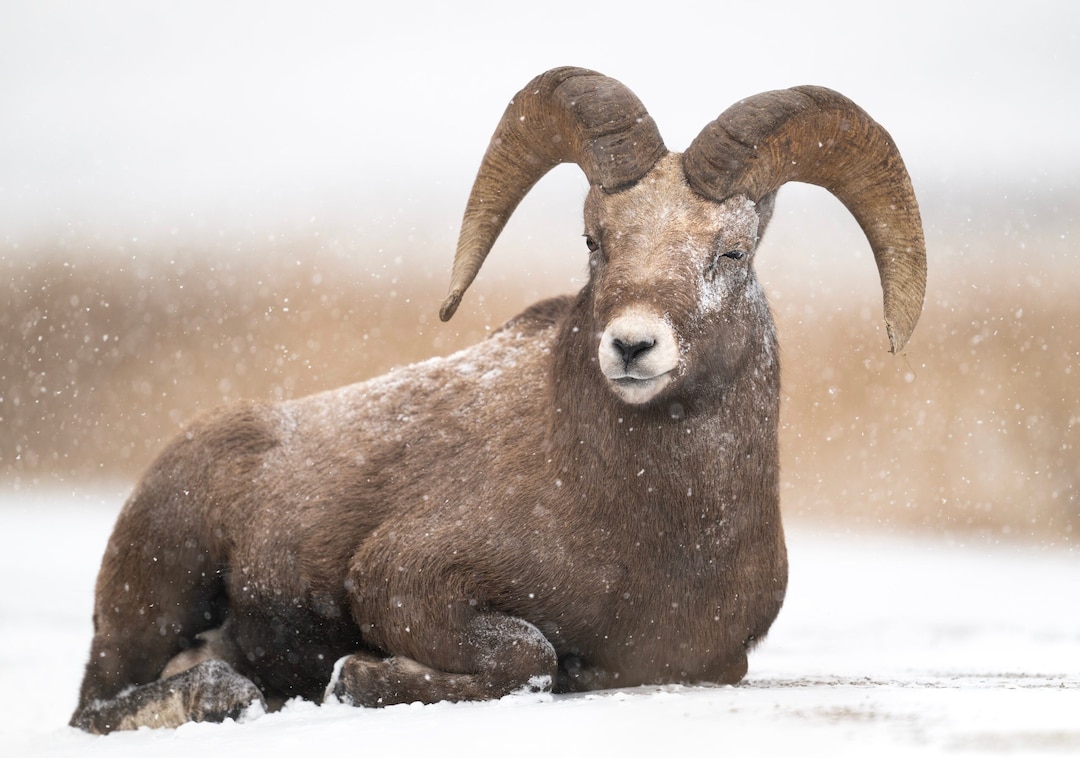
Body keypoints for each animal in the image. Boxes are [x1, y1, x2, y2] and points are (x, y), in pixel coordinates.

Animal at [69, 66, 926, 733]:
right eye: (595, 240)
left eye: (733, 250)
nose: (632, 346)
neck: (654, 528)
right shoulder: (405, 579)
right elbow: (532, 655)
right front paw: (355, 677)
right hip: (153, 586)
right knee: (97, 702)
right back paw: (223, 692)